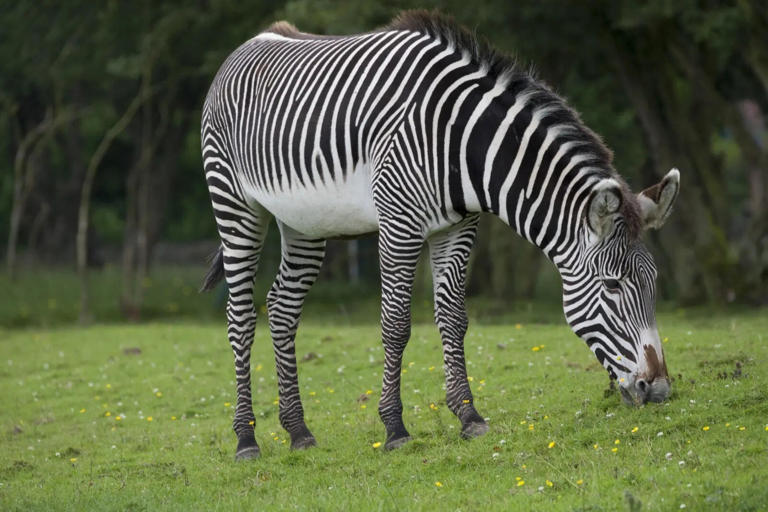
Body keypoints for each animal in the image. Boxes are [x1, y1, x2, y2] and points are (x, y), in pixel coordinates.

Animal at [200, 11, 680, 459]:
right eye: (612, 285)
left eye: (654, 283)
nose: (657, 390)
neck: (463, 145)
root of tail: (254, 41)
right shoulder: (399, 224)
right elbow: (395, 324)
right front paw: (395, 427)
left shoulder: (458, 226)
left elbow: (453, 319)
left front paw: (469, 416)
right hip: (235, 204)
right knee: (240, 317)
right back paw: (246, 438)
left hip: (303, 221)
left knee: (282, 309)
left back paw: (299, 432)